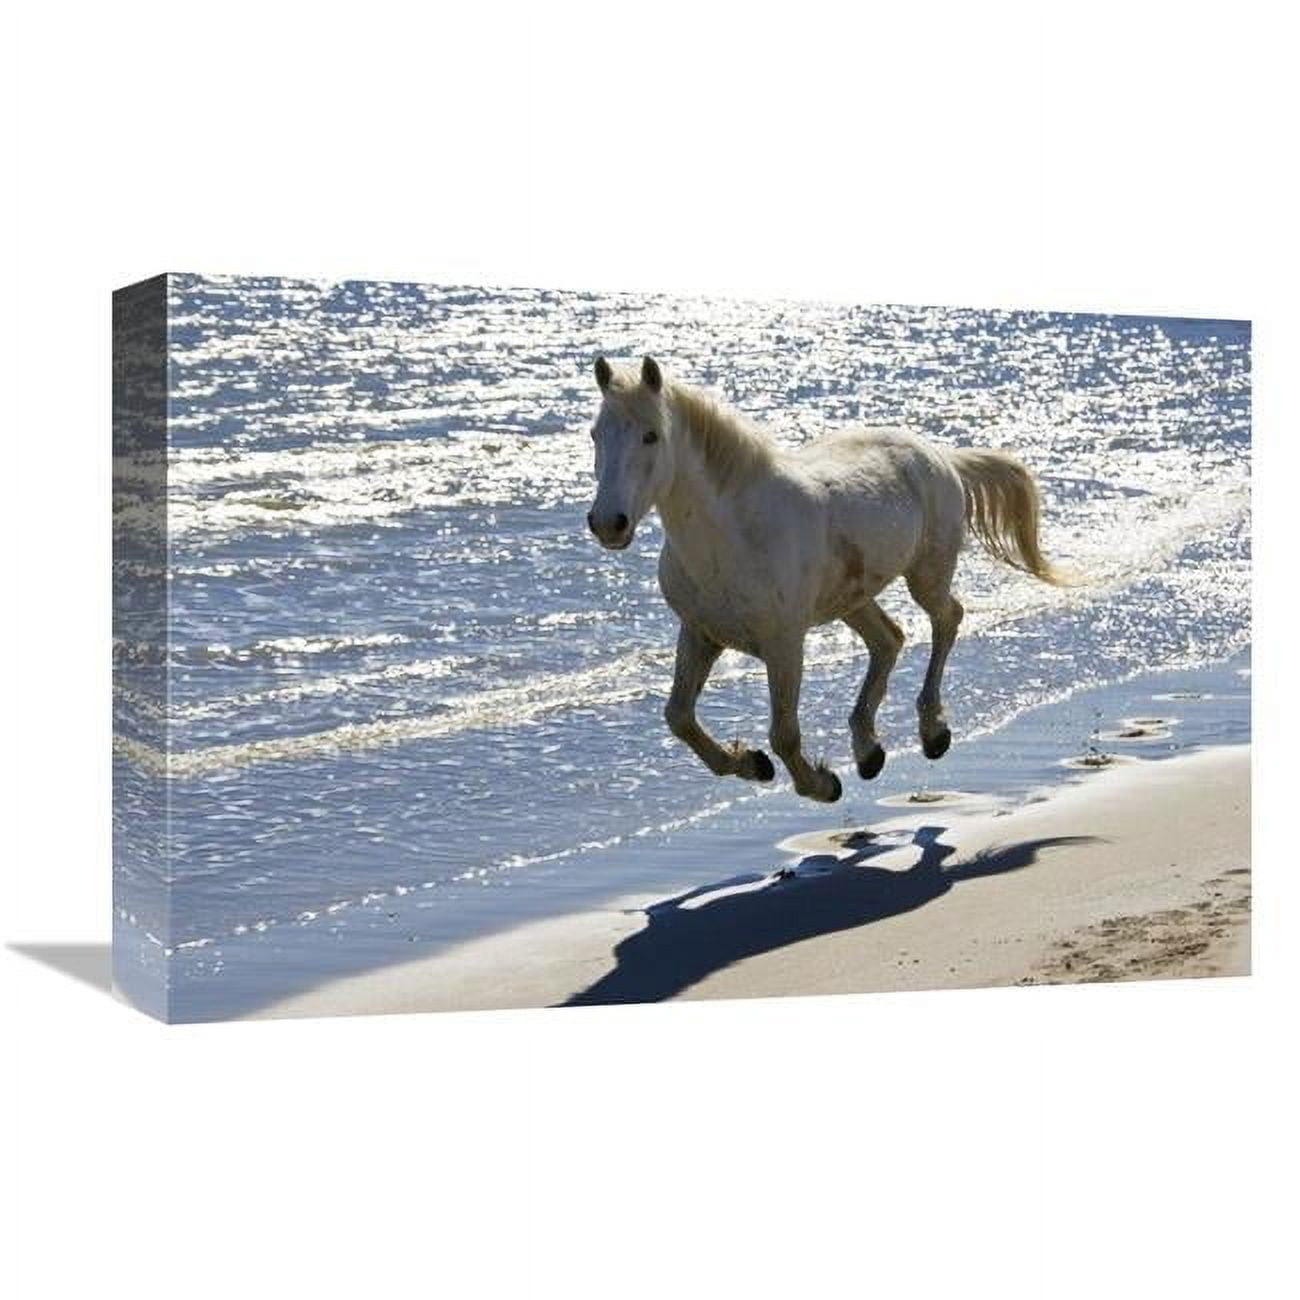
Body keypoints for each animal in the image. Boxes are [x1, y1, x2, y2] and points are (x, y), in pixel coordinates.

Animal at [585, 355, 1068, 803]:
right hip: (851, 599)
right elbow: (679, 717)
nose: (608, 523)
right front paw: (752, 763)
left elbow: (784, 734)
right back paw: (868, 751)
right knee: (888, 639)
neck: (737, 534)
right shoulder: (700, 633)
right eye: (595, 435)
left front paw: (822, 784)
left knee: (947, 618)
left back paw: (932, 732)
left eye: (651, 435)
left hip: (927, 576)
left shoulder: (784, 644)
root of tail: (938, 455)